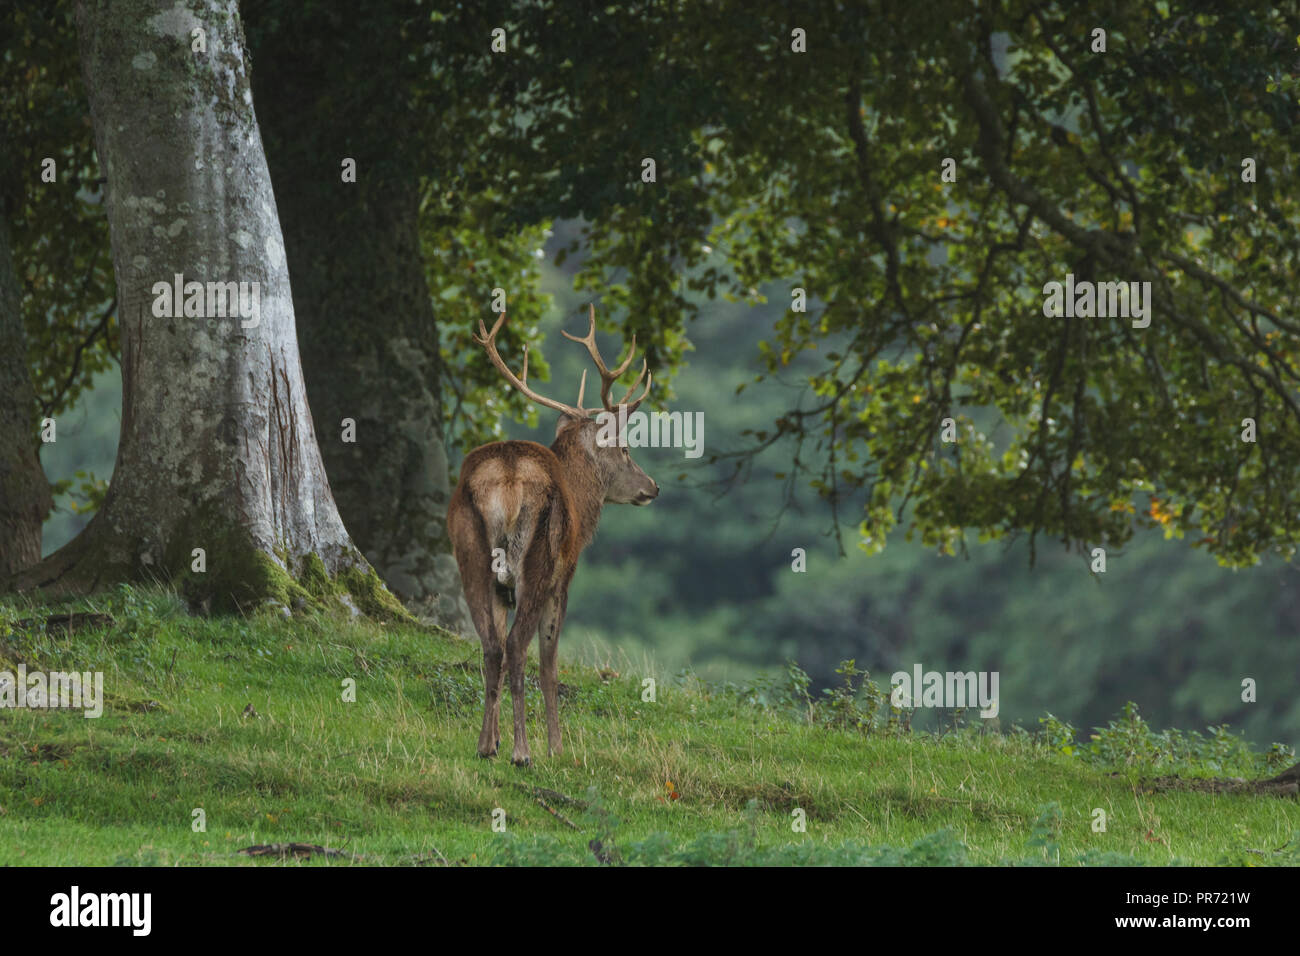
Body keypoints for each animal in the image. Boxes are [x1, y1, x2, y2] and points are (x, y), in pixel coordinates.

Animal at [447, 305, 658, 766]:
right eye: (626, 449)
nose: (653, 486)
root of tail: (506, 477)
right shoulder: (565, 576)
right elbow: (550, 666)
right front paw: (557, 746)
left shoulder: (502, 587)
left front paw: (494, 740)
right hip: (537, 560)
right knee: (516, 646)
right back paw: (522, 752)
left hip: (470, 554)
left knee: (492, 646)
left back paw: (486, 746)